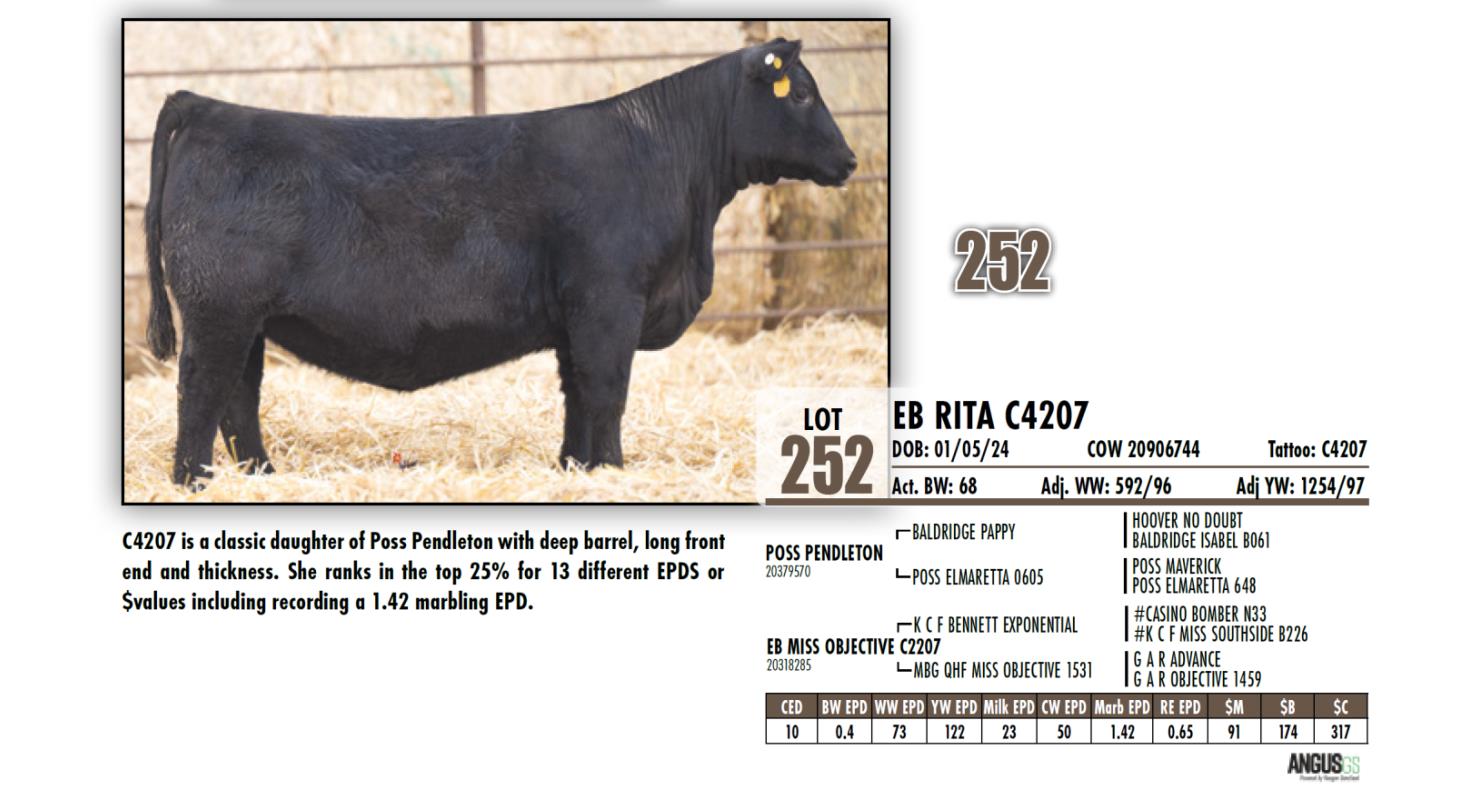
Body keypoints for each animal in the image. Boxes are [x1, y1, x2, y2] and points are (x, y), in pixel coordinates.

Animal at [143, 38, 857, 487]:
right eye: (800, 95)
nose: (851, 160)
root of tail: (205, 106)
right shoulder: (609, 301)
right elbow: (608, 391)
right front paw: (615, 472)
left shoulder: (576, 314)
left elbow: (577, 396)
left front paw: (576, 469)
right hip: (218, 311)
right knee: (200, 393)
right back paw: (193, 481)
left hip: (247, 321)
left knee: (238, 400)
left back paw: (261, 477)